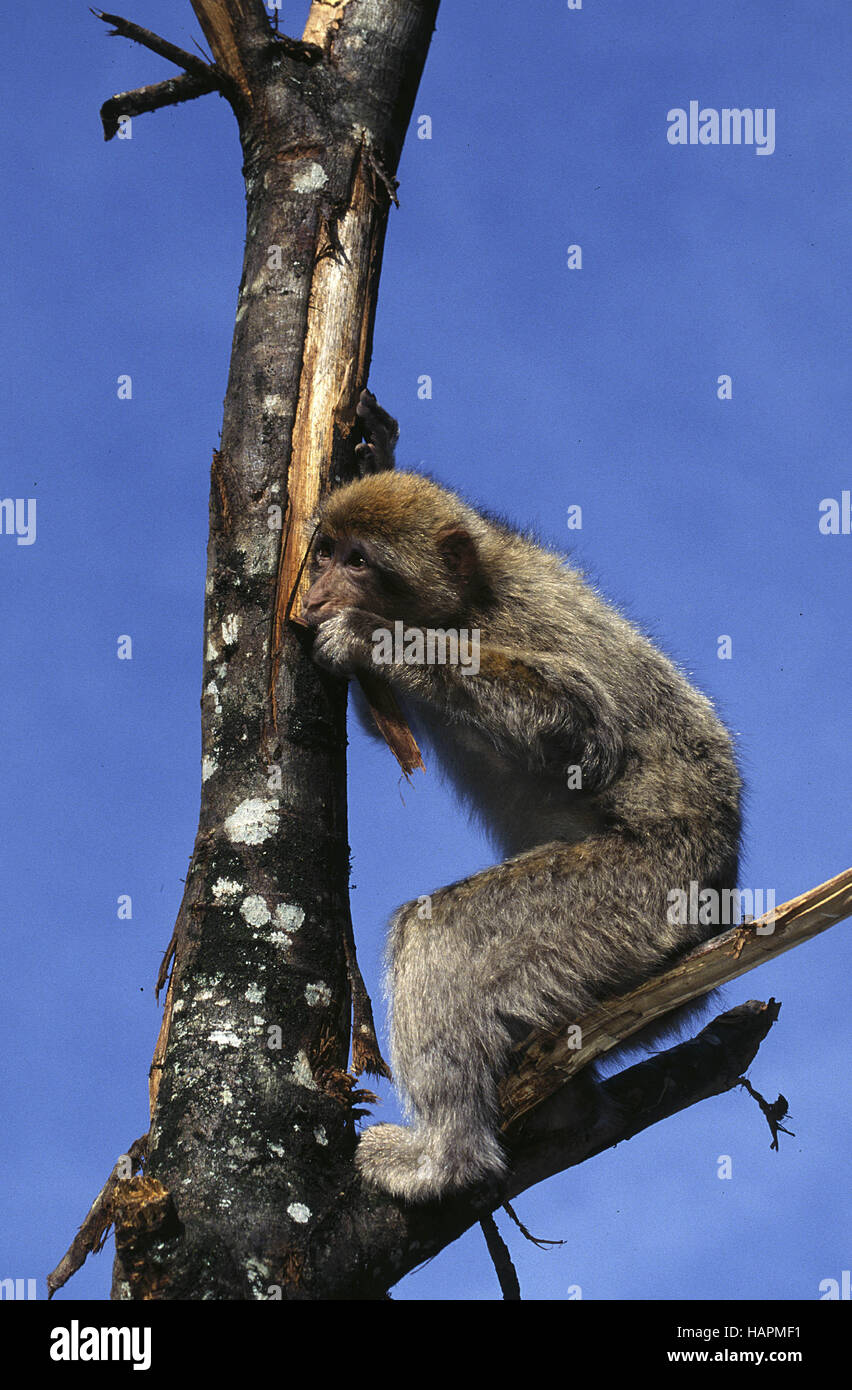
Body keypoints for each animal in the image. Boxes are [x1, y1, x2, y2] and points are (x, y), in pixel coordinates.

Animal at [302, 391, 741, 1203]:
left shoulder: (518, 621)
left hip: (641, 902)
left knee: (440, 935)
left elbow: (581, 729)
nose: (316, 591)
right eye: (326, 551)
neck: (463, 599)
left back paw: (445, 1159)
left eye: (360, 563)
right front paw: (375, 446)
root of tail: (726, 900)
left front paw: (372, 637)